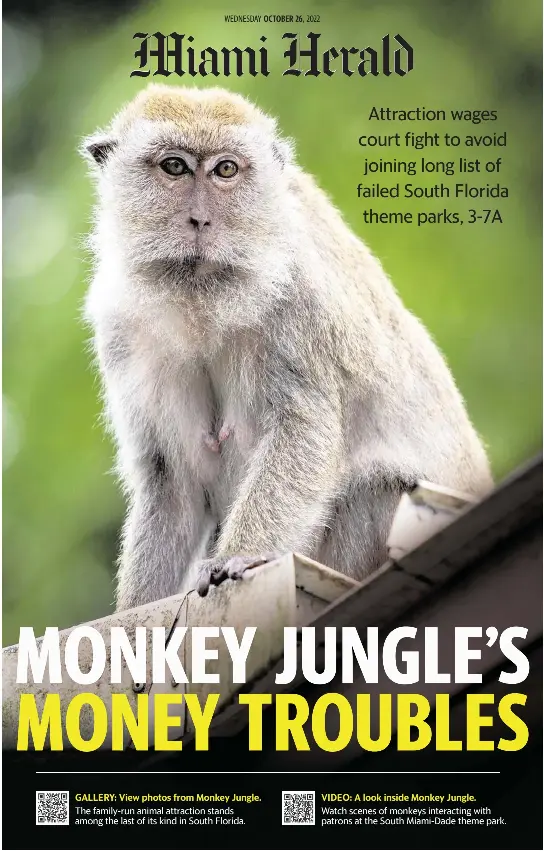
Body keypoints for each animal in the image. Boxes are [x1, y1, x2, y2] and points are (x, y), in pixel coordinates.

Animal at [81, 84, 493, 612]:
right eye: (174, 167)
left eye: (225, 170)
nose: (200, 219)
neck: (204, 304)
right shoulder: (121, 331)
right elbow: (169, 478)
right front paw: (133, 609)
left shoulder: (301, 297)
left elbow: (303, 429)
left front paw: (237, 557)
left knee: (378, 489)